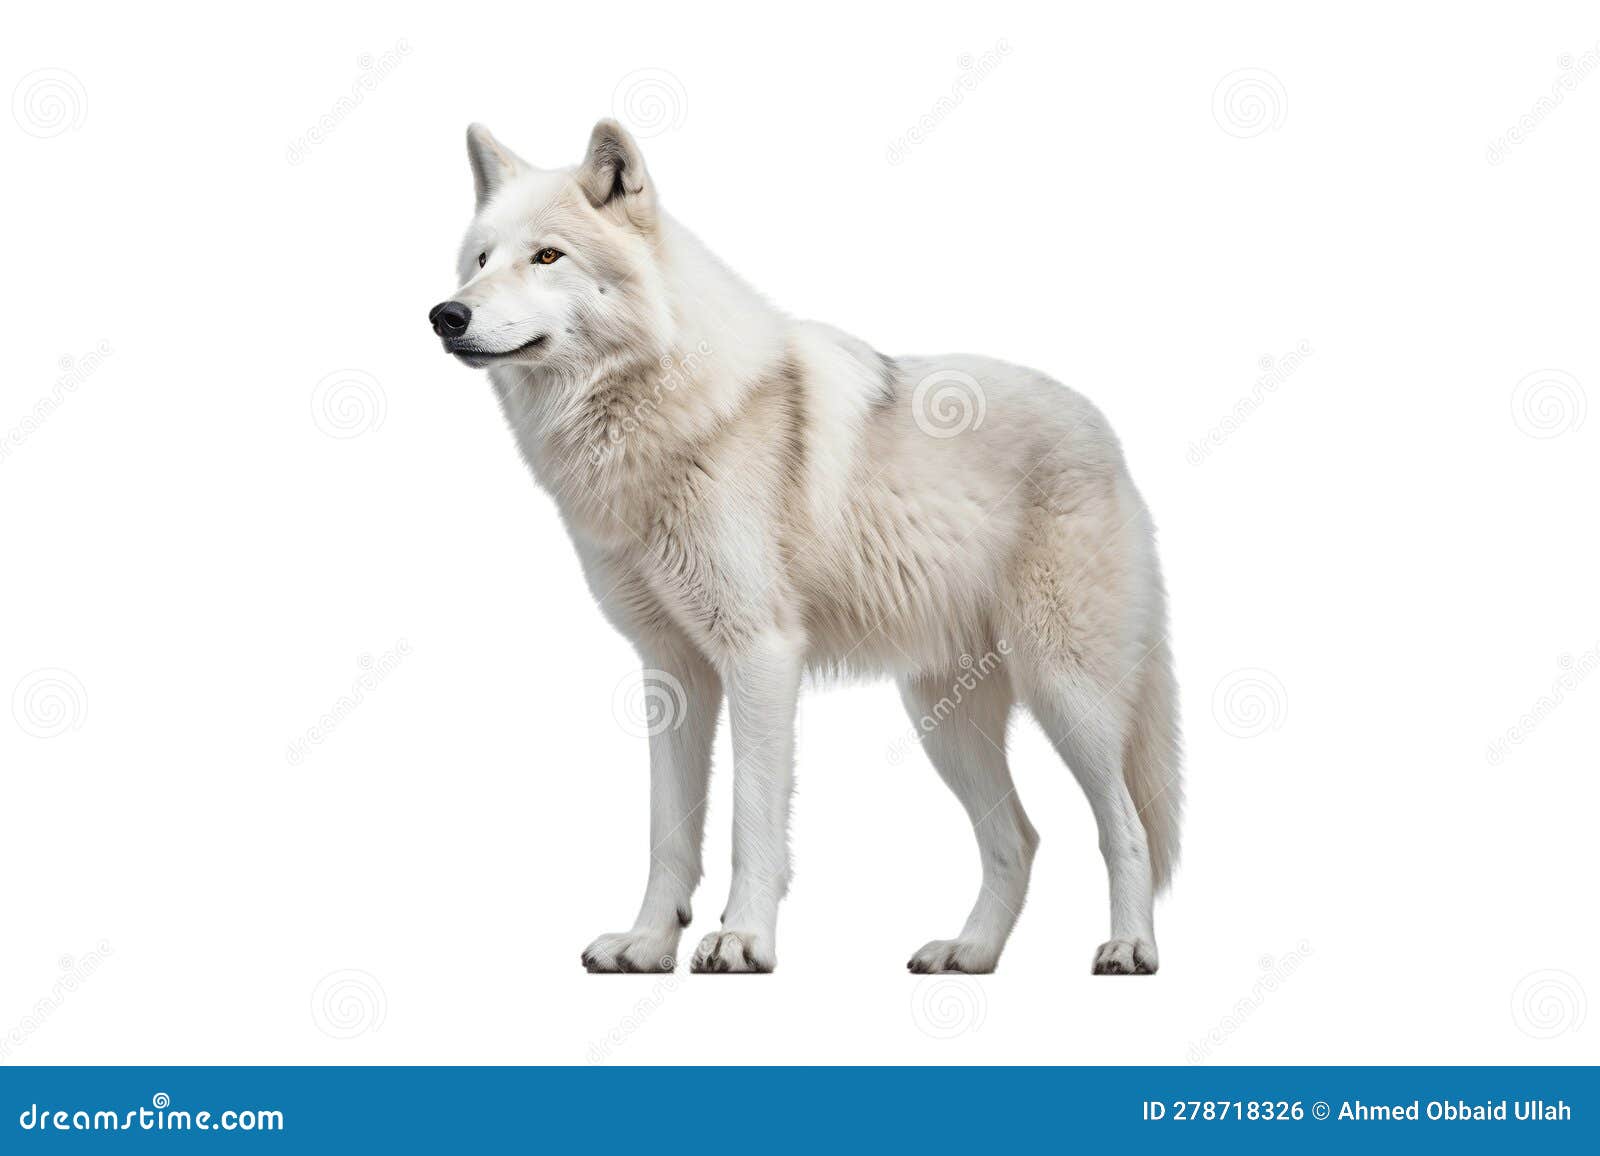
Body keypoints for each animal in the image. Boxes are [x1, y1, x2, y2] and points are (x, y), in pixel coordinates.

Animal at [429, 119, 1182, 975]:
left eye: (548, 256)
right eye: (480, 259)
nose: (445, 315)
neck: (662, 416)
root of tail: (1105, 430)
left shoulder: (759, 654)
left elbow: (751, 819)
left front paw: (743, 939)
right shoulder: (672, 671)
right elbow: (667, 832)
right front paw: (649, 944)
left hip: (1067, 692)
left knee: (1127, 827)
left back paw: (1129, 947)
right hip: (944, 720)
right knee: (1017, 839)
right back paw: (969, 952)